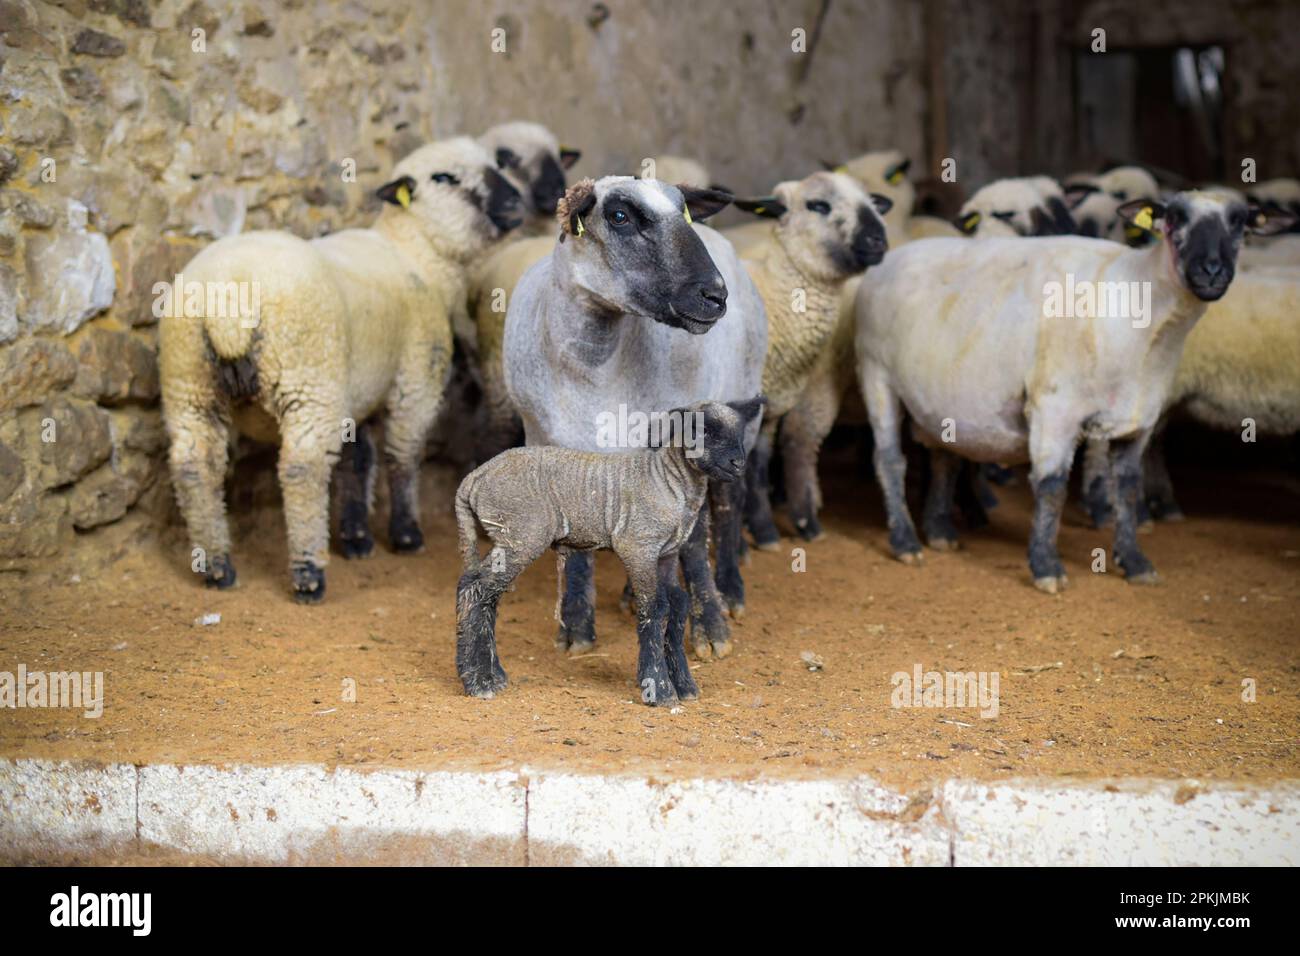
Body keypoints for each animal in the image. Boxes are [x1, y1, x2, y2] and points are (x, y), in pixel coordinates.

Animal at [160, 137, 523, 602]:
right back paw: (308, 573)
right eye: (444, 178)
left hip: (189, 382)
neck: (417, 255)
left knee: (195, 465)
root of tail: (227, 303)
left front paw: (356, 538)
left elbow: (358, 459)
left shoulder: (357, 393)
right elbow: (402, 455)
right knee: (302, 468)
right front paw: (405, 534)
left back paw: (216, 566)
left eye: (497, 163)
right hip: (307, 380)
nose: (515, 202)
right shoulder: (415, 380)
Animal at [455, 398, 763, 703]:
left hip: (509, 539)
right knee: (477, 590)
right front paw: (659, 689)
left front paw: (685, 685)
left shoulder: (666, 554)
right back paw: (480, 682)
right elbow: (654, 608)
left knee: (478, 589)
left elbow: (677, 605)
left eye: (740, 433)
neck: (669, 481)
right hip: (520, 535)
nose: (738, 464)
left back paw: (492, 675)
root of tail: (473, 479)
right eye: (703, 431)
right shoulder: (638, 547)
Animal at [504, 176, 767, 659]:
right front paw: (575, 628)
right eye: (620, 216)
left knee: (728, 503)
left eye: (685, 212)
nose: (714, 295)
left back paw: (730, 590)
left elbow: (694, 538)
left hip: (742, 401)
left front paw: (711, 630)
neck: (597, 366)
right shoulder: (545, 438)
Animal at [724, 171, 890, 549]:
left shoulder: (773, 405)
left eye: (872, 203)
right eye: (818, 205)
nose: (877, 238)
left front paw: (765, 530)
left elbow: (759, 466)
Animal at [855, 190, 1273, 592]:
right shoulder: (1054, 409)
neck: (1143, 314)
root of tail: (893, 257)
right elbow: (1052, 486)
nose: (1212, 270)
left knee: (943, 456)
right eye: (1174, 218)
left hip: (936, 398)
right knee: (889, 460)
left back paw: (940, 530)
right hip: (877, 375)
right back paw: (905, 541)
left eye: (1240, 223)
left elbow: (1127, 487)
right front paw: (1046, 567)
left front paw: (1135, 562)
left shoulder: (1140, 418)